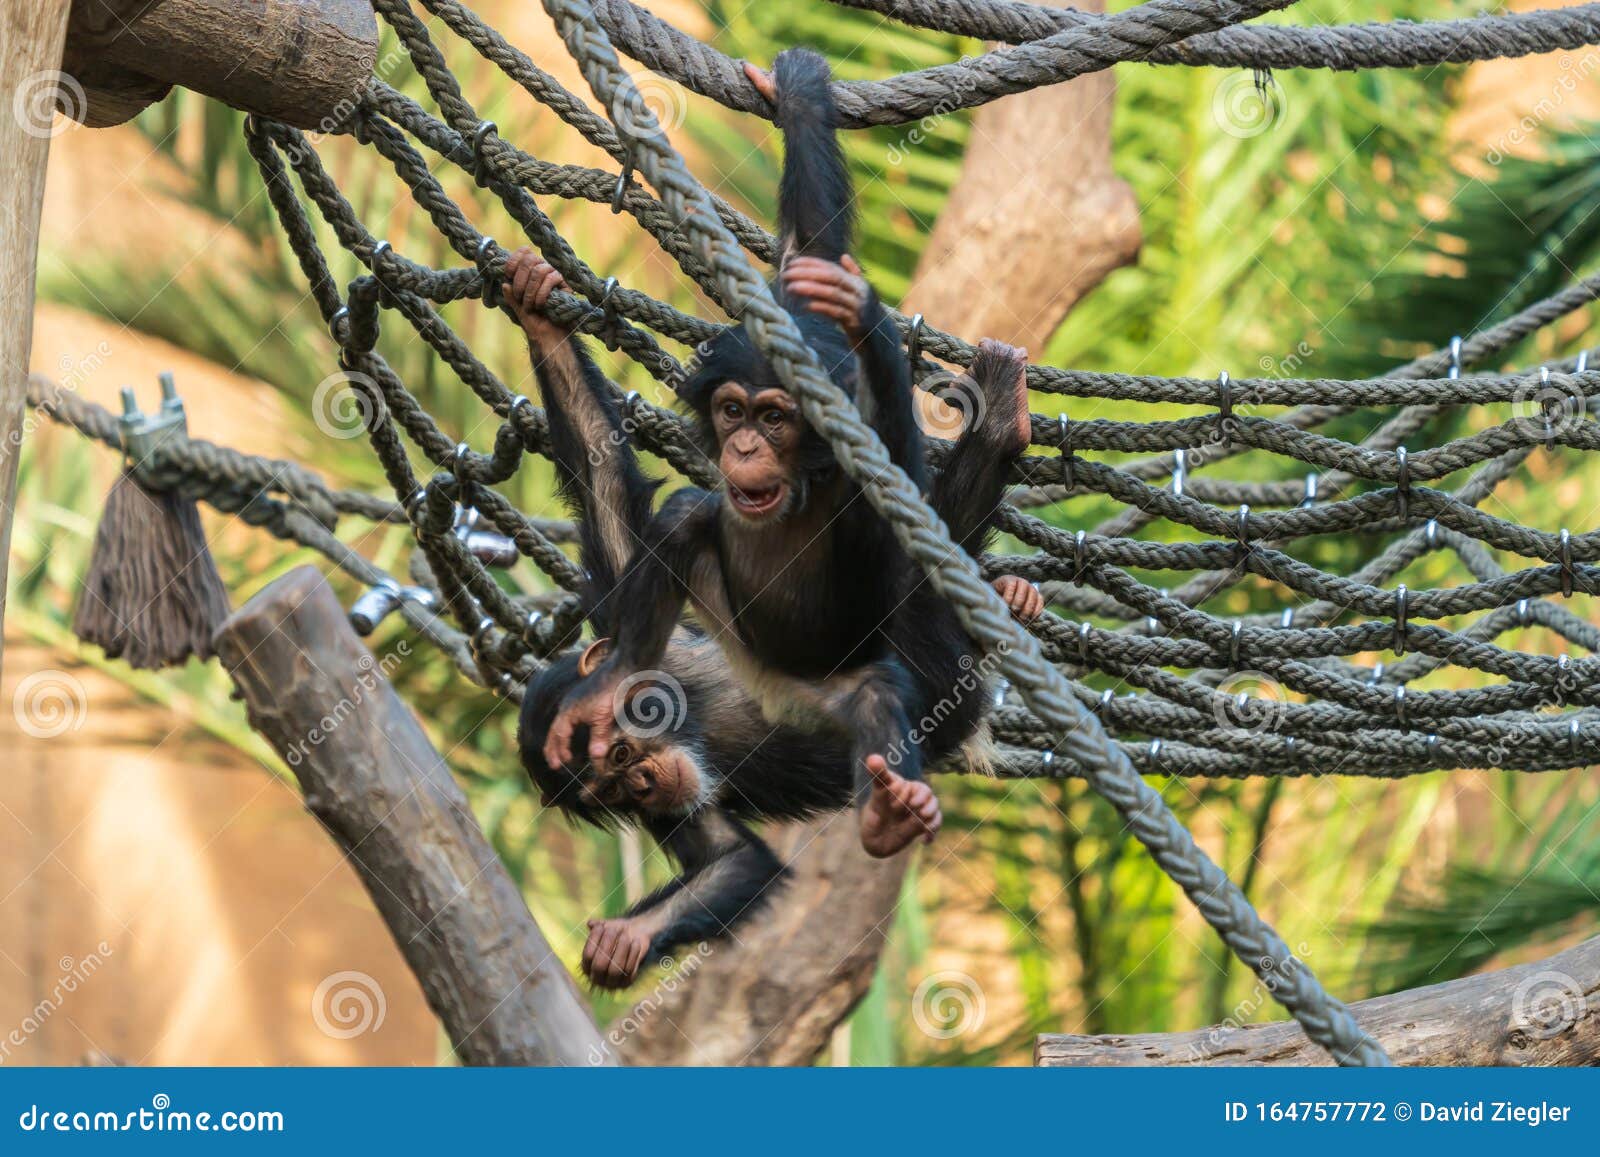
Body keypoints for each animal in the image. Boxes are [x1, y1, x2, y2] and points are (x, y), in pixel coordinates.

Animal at [504, 242, 1037, 988]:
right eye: (612, 789)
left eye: (620, 753)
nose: (644, 780)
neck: (684, 705)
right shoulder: (677, 787)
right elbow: (733, 858)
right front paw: (625, 939)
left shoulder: (629, 630)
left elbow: (608, 493)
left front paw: (538, 316)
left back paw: (994, 424)